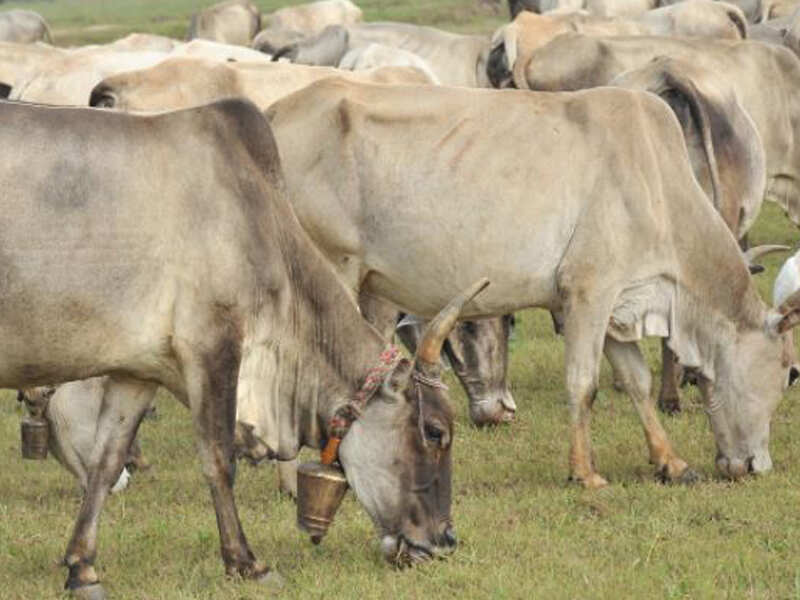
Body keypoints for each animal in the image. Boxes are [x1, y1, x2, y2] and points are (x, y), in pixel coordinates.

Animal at [0, 98, 480, 596]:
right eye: (435, 432)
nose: (444, 541)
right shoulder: (213, 348)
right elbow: (218, 460)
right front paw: (245, 562)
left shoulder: (138, 371)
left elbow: (105, 462)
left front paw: (82, 567)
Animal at [262, 77, 800, 489]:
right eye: (791, 372)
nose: (756, 466)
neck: (657, 186)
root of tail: (274, 112)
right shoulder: (587, 291)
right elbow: (583, 385)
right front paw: (585, 474)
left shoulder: (617, 302)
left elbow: (638, 383)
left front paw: (670, 461)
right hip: (330, 269)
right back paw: (292, 482)